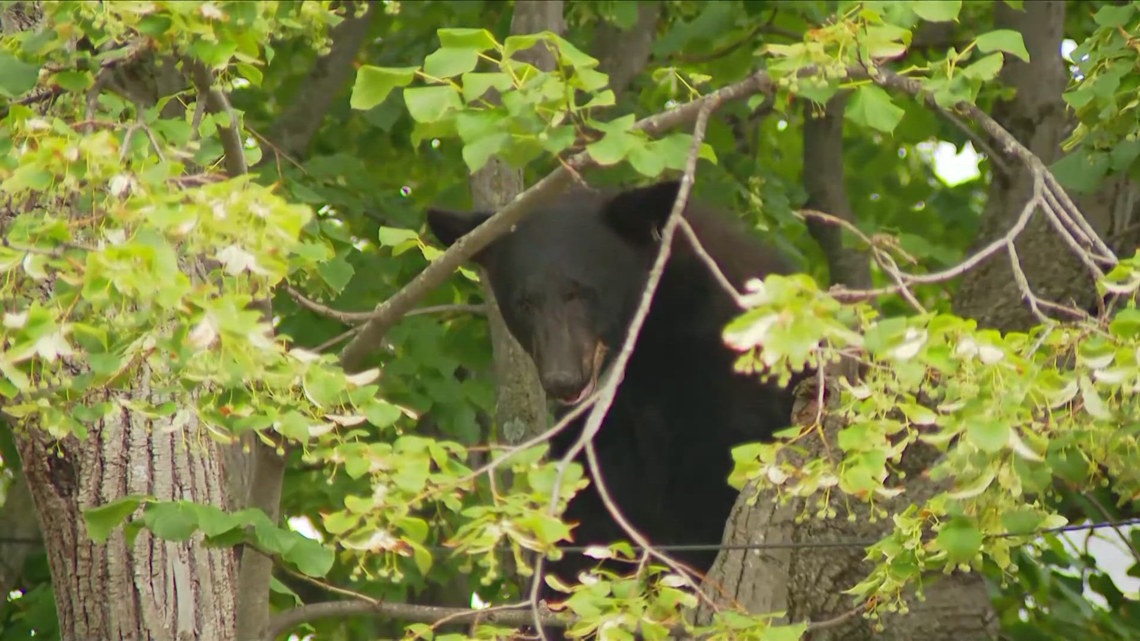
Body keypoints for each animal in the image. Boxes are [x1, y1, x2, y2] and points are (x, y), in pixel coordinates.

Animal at [426, 179, 800, 602]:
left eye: (581, 292)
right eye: (524, 302)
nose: (563, 379)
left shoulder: (725, 377)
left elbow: (713, 484)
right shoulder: (606, 428)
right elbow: (587, 515)